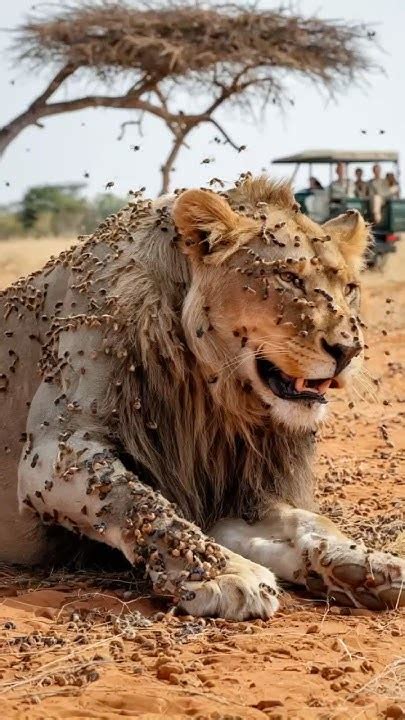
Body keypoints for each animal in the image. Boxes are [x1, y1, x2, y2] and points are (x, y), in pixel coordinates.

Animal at [0, 175, 403, 620]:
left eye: (349, 288)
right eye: (287, 277)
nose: (348, 350)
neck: (211, 392)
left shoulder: (225, 493)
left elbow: (304, 521)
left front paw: (363, 563)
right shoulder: (54, 451)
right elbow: (140, 503)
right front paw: (224, 574)